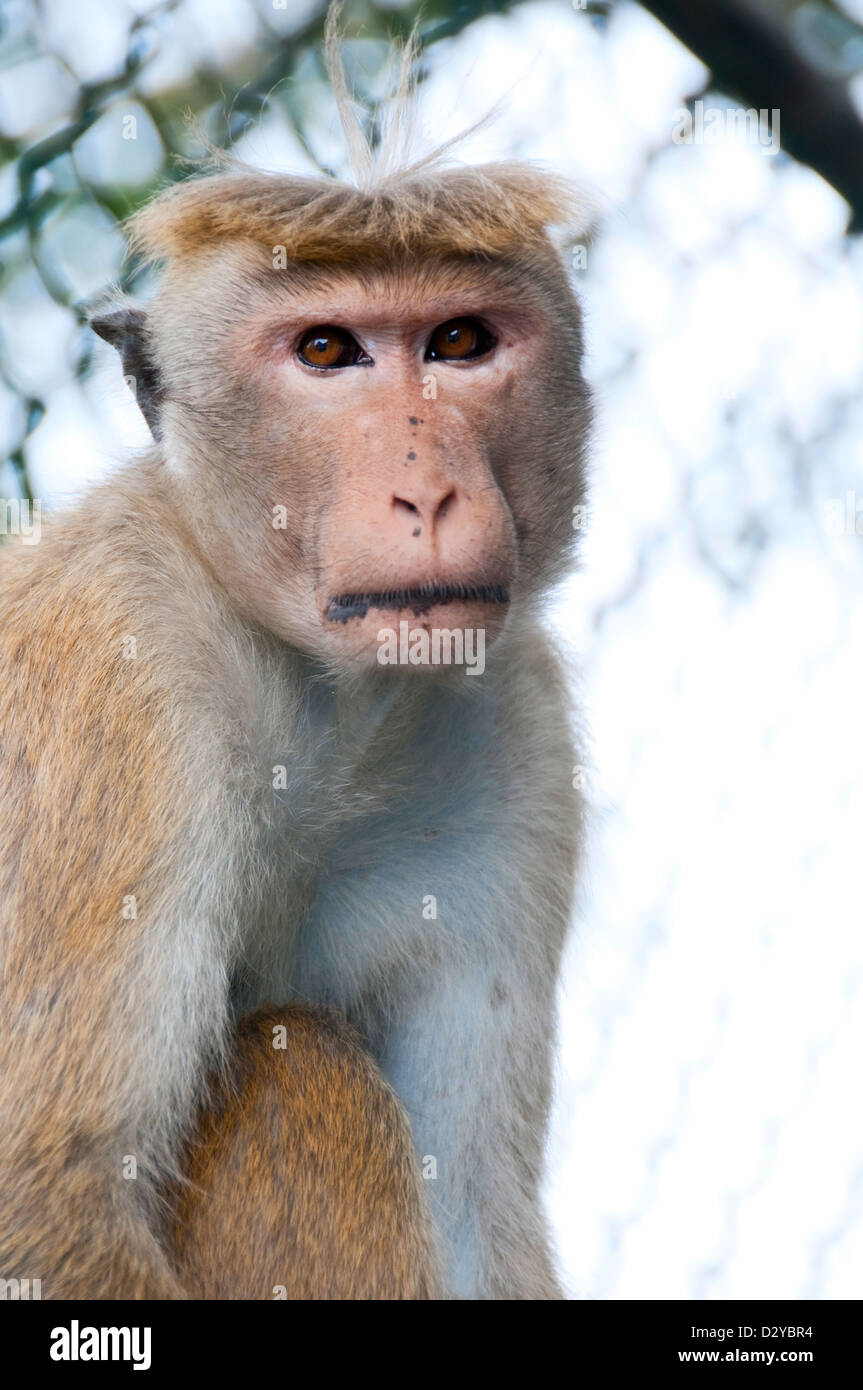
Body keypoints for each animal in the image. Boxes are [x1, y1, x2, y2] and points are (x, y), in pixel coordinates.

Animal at [0, 36, 591, 1301]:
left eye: (459, 341)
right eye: (327, 351)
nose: (428, 492)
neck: (316, 689)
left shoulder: (514, 728)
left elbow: (474, 1211)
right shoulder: (113, 676)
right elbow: (44, 1187)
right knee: (296, 1060)